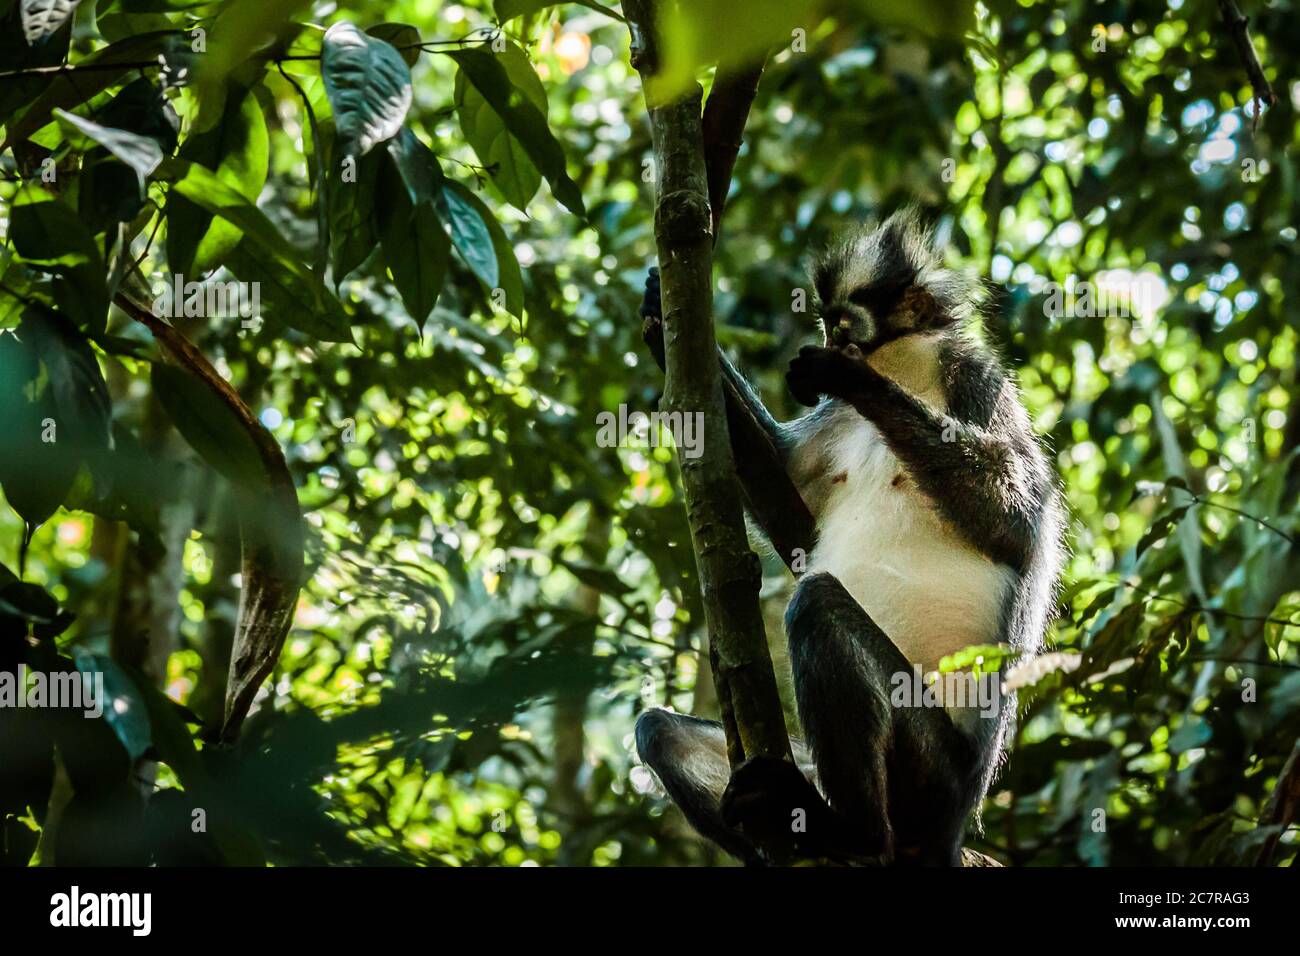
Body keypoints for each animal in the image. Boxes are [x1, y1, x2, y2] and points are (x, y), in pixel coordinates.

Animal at [633, 208, 1066, 865]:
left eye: (841, 324)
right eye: (824, 322)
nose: (834, 345)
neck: (906, 366)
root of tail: (952, 833)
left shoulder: (976, 380)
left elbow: (1017, 520)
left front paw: (848, 376)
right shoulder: (833, 422)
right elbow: (793, 521)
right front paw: (660, 311)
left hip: (931, 775)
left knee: (816, 604)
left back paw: (849, 832)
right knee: (658, 731)